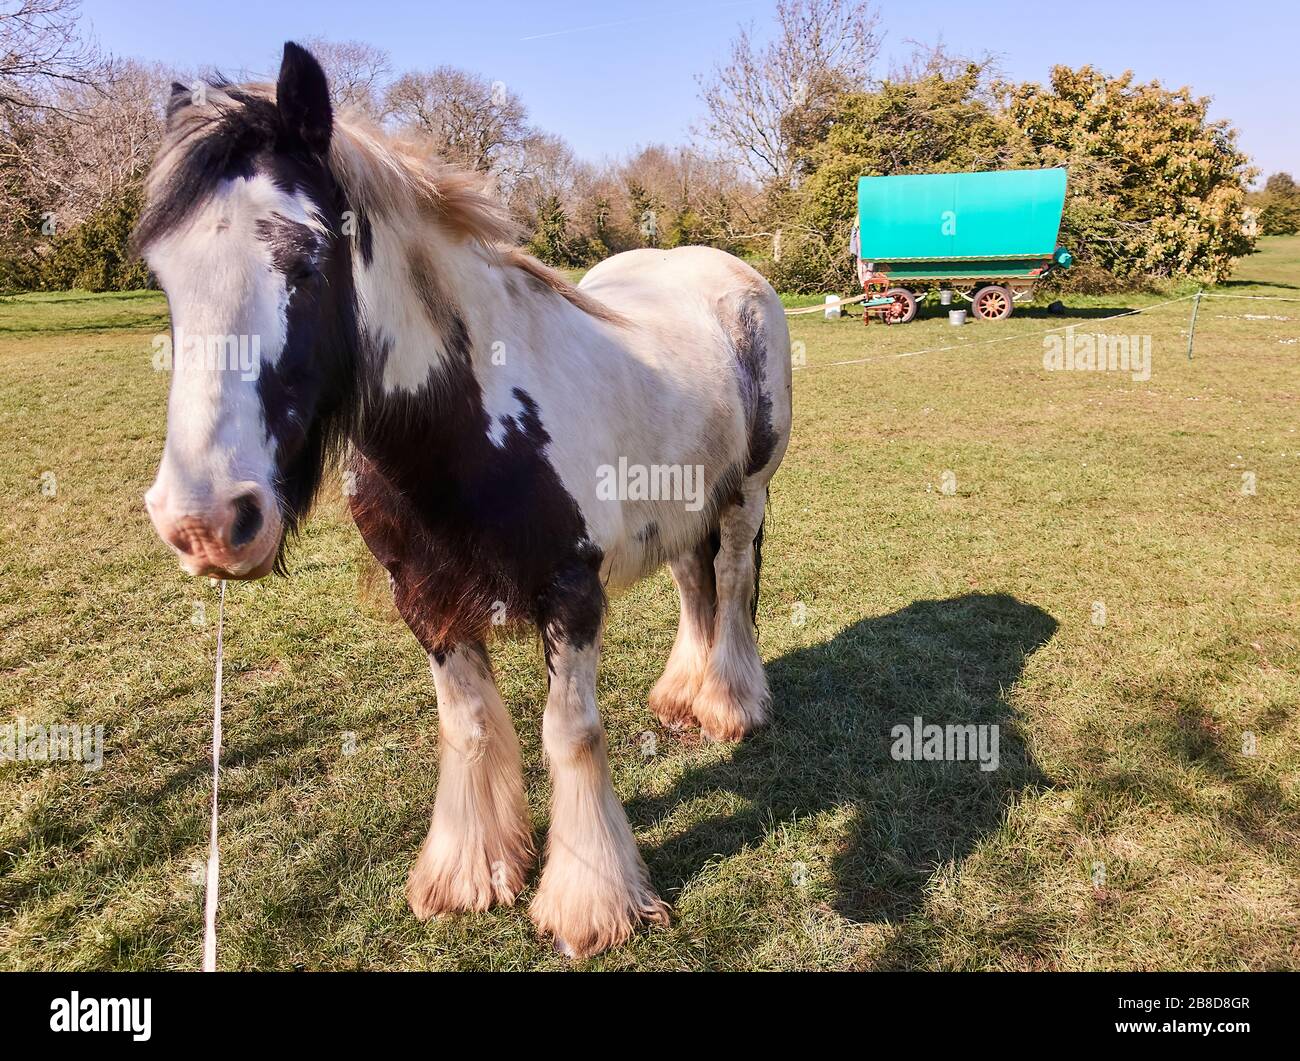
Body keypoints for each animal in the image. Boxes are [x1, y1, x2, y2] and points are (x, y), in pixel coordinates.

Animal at [136, 42, 792, 958]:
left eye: (306, 259)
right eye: (162, 277)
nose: (203, 521)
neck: (469, 423)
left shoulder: (571, 593)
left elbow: (570, 732)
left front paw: (591, 905)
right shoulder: (425, 597)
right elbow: (470, 725)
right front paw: (469, 874)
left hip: (744, 496)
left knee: (728, 584)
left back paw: (730, 707)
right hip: (681, 505)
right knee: (693, 585)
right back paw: (681, 700)